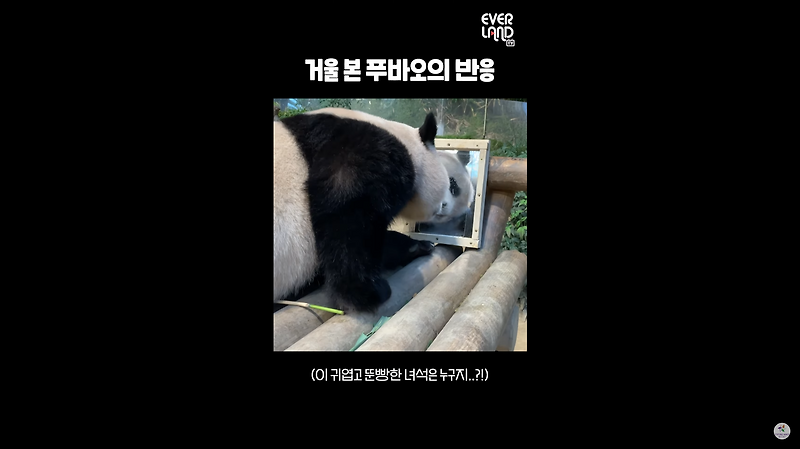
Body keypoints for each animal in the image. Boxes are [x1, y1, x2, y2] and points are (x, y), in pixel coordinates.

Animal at [274, 107, 457, 312]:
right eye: (447, 185)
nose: (445, 206)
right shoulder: (363, 150)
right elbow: (349, 215)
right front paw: (368, 292)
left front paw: (419, 245)